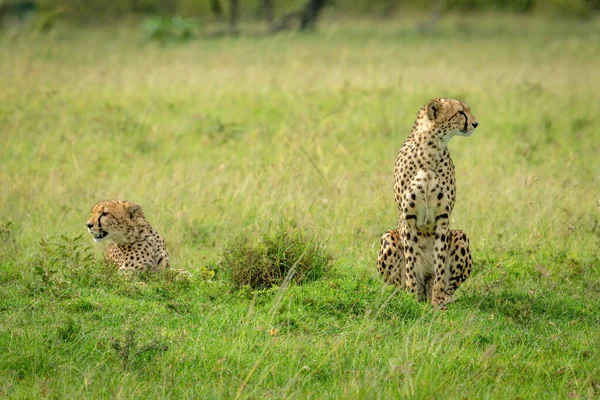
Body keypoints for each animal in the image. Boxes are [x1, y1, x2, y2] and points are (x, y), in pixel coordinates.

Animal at [380, 98, 478, 308]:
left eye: (468, 110)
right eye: (460, 112)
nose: (475, 124)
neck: (430, 149)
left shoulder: (443, 216)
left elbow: (440, 260)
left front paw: (438, 298)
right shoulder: (408, 216)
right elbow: (410, 260)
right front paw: (410, 295)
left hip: (460, 236)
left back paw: (444, 296)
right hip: (388, 237)